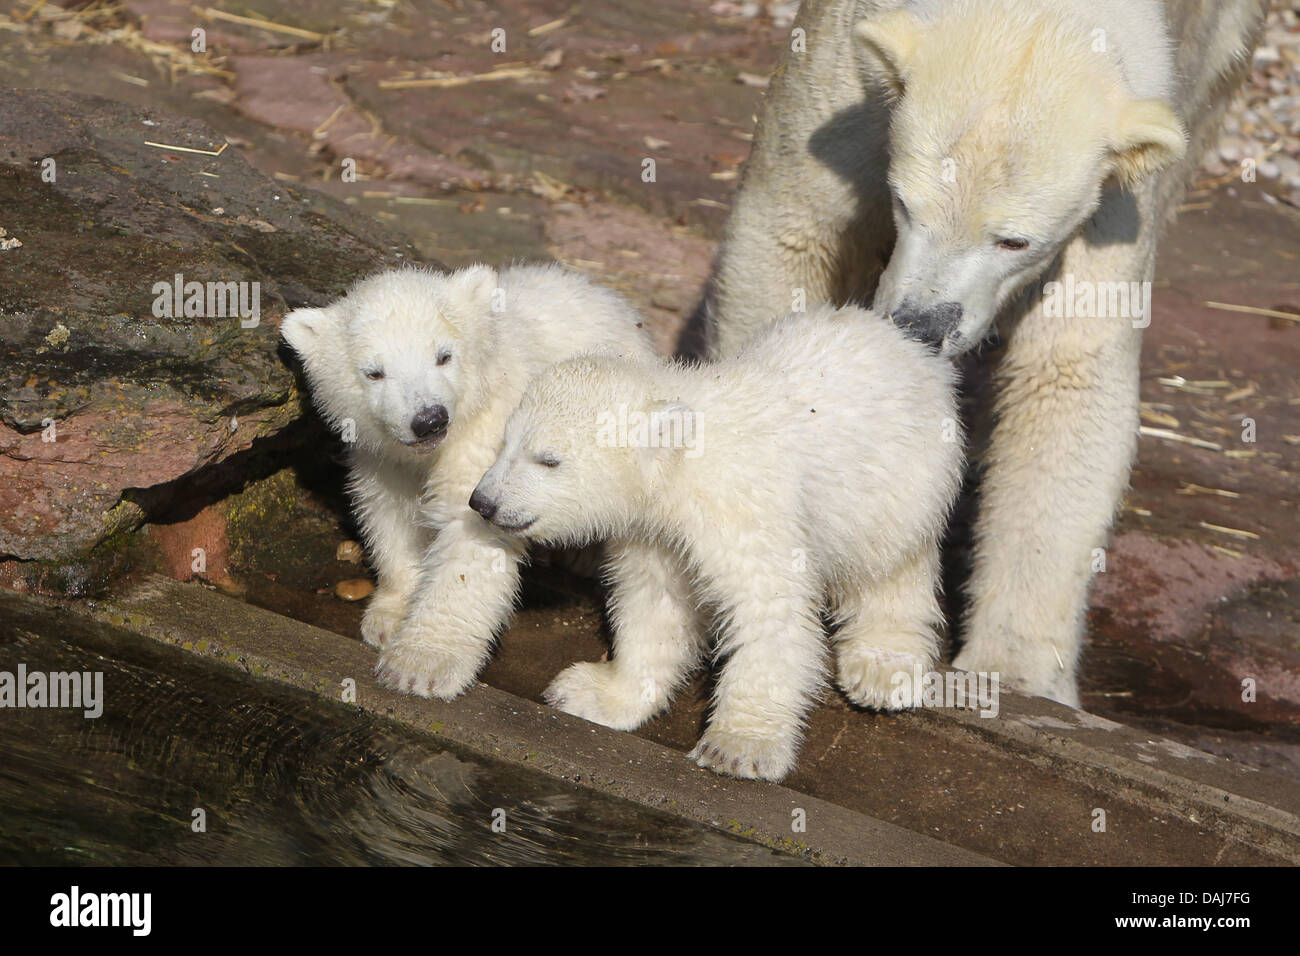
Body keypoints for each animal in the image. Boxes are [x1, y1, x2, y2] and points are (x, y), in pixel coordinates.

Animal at [280, 263, 659, 699]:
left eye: (443, 356)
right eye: (374, 372)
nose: (428, 419)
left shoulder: (490, 440)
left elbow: (471, 537)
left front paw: (419, 665)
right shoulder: (385, 458)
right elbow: (390, 513)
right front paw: (390, 617)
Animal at [468, 304, 963, 781]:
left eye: (548, 460)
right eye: (505, 442)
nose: (483, 501)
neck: (687, 460)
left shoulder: (742, 507)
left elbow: (767, 609)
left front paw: (739, 748)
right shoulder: (657, 534)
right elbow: (656, 606)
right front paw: (593, 693)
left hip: (898, 482)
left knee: (889, 567)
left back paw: (883, 666)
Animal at [698, 0, 1269, 705]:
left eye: (1014, 240)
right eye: (904, 202)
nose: (922, 323)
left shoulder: (1115, 191)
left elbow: (1068, 372)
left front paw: (1020, 673)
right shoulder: (847, 81)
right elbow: (791, 238)